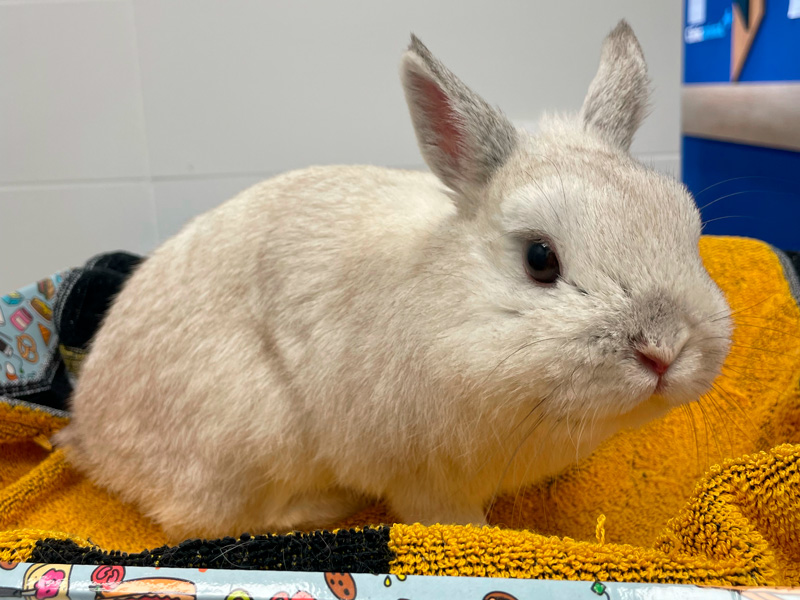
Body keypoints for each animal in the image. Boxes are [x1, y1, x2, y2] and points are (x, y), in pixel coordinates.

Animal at [55, 20, 732, 541]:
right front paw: (488, 535)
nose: (664, 349)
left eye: (686, 226)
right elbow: (448, 517)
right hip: (249, 439)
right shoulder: (422, 474)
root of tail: (90, 433)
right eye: (541, 258)